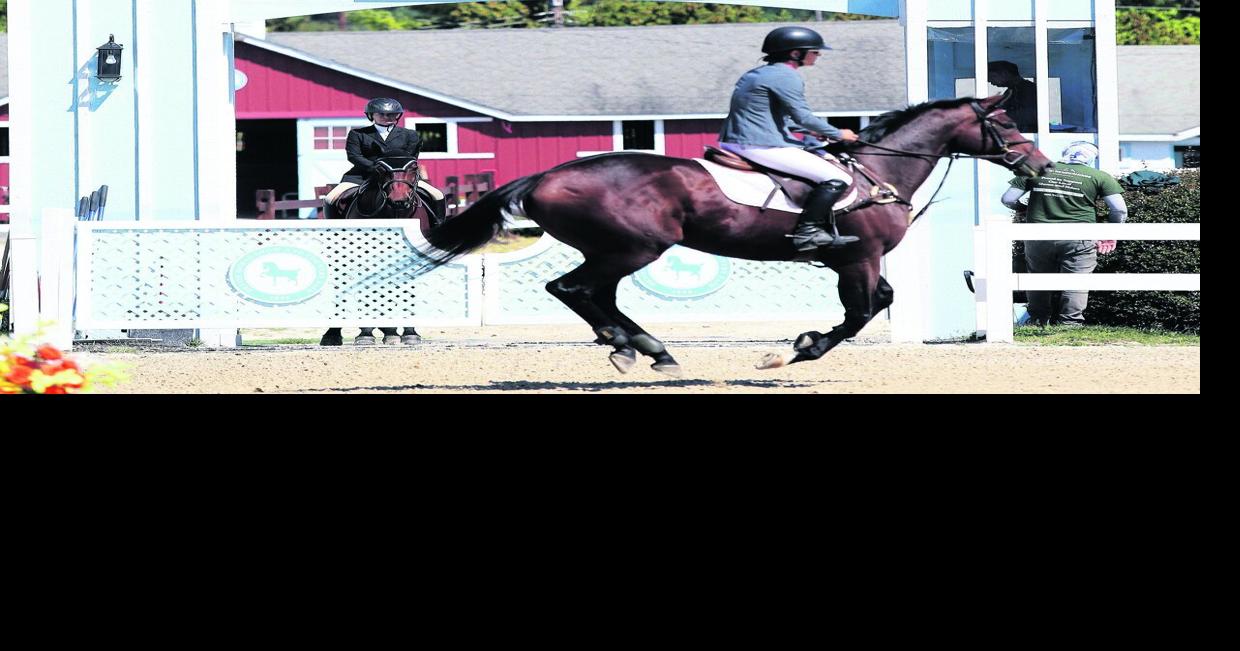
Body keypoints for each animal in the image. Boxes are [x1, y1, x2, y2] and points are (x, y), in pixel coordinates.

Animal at [420, 94, 1056, 375]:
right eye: (1005, 122)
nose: (1040, 165)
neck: (878, 170)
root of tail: (547, 174)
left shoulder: (853, 261)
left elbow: (878, 303)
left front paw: (804, 344)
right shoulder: (860, 257)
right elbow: (861, 311)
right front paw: (800, 350)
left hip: (619, 250)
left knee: (592, 294)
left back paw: (648, 349)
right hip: (634, 247)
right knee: (573, 290)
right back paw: (628, 346)